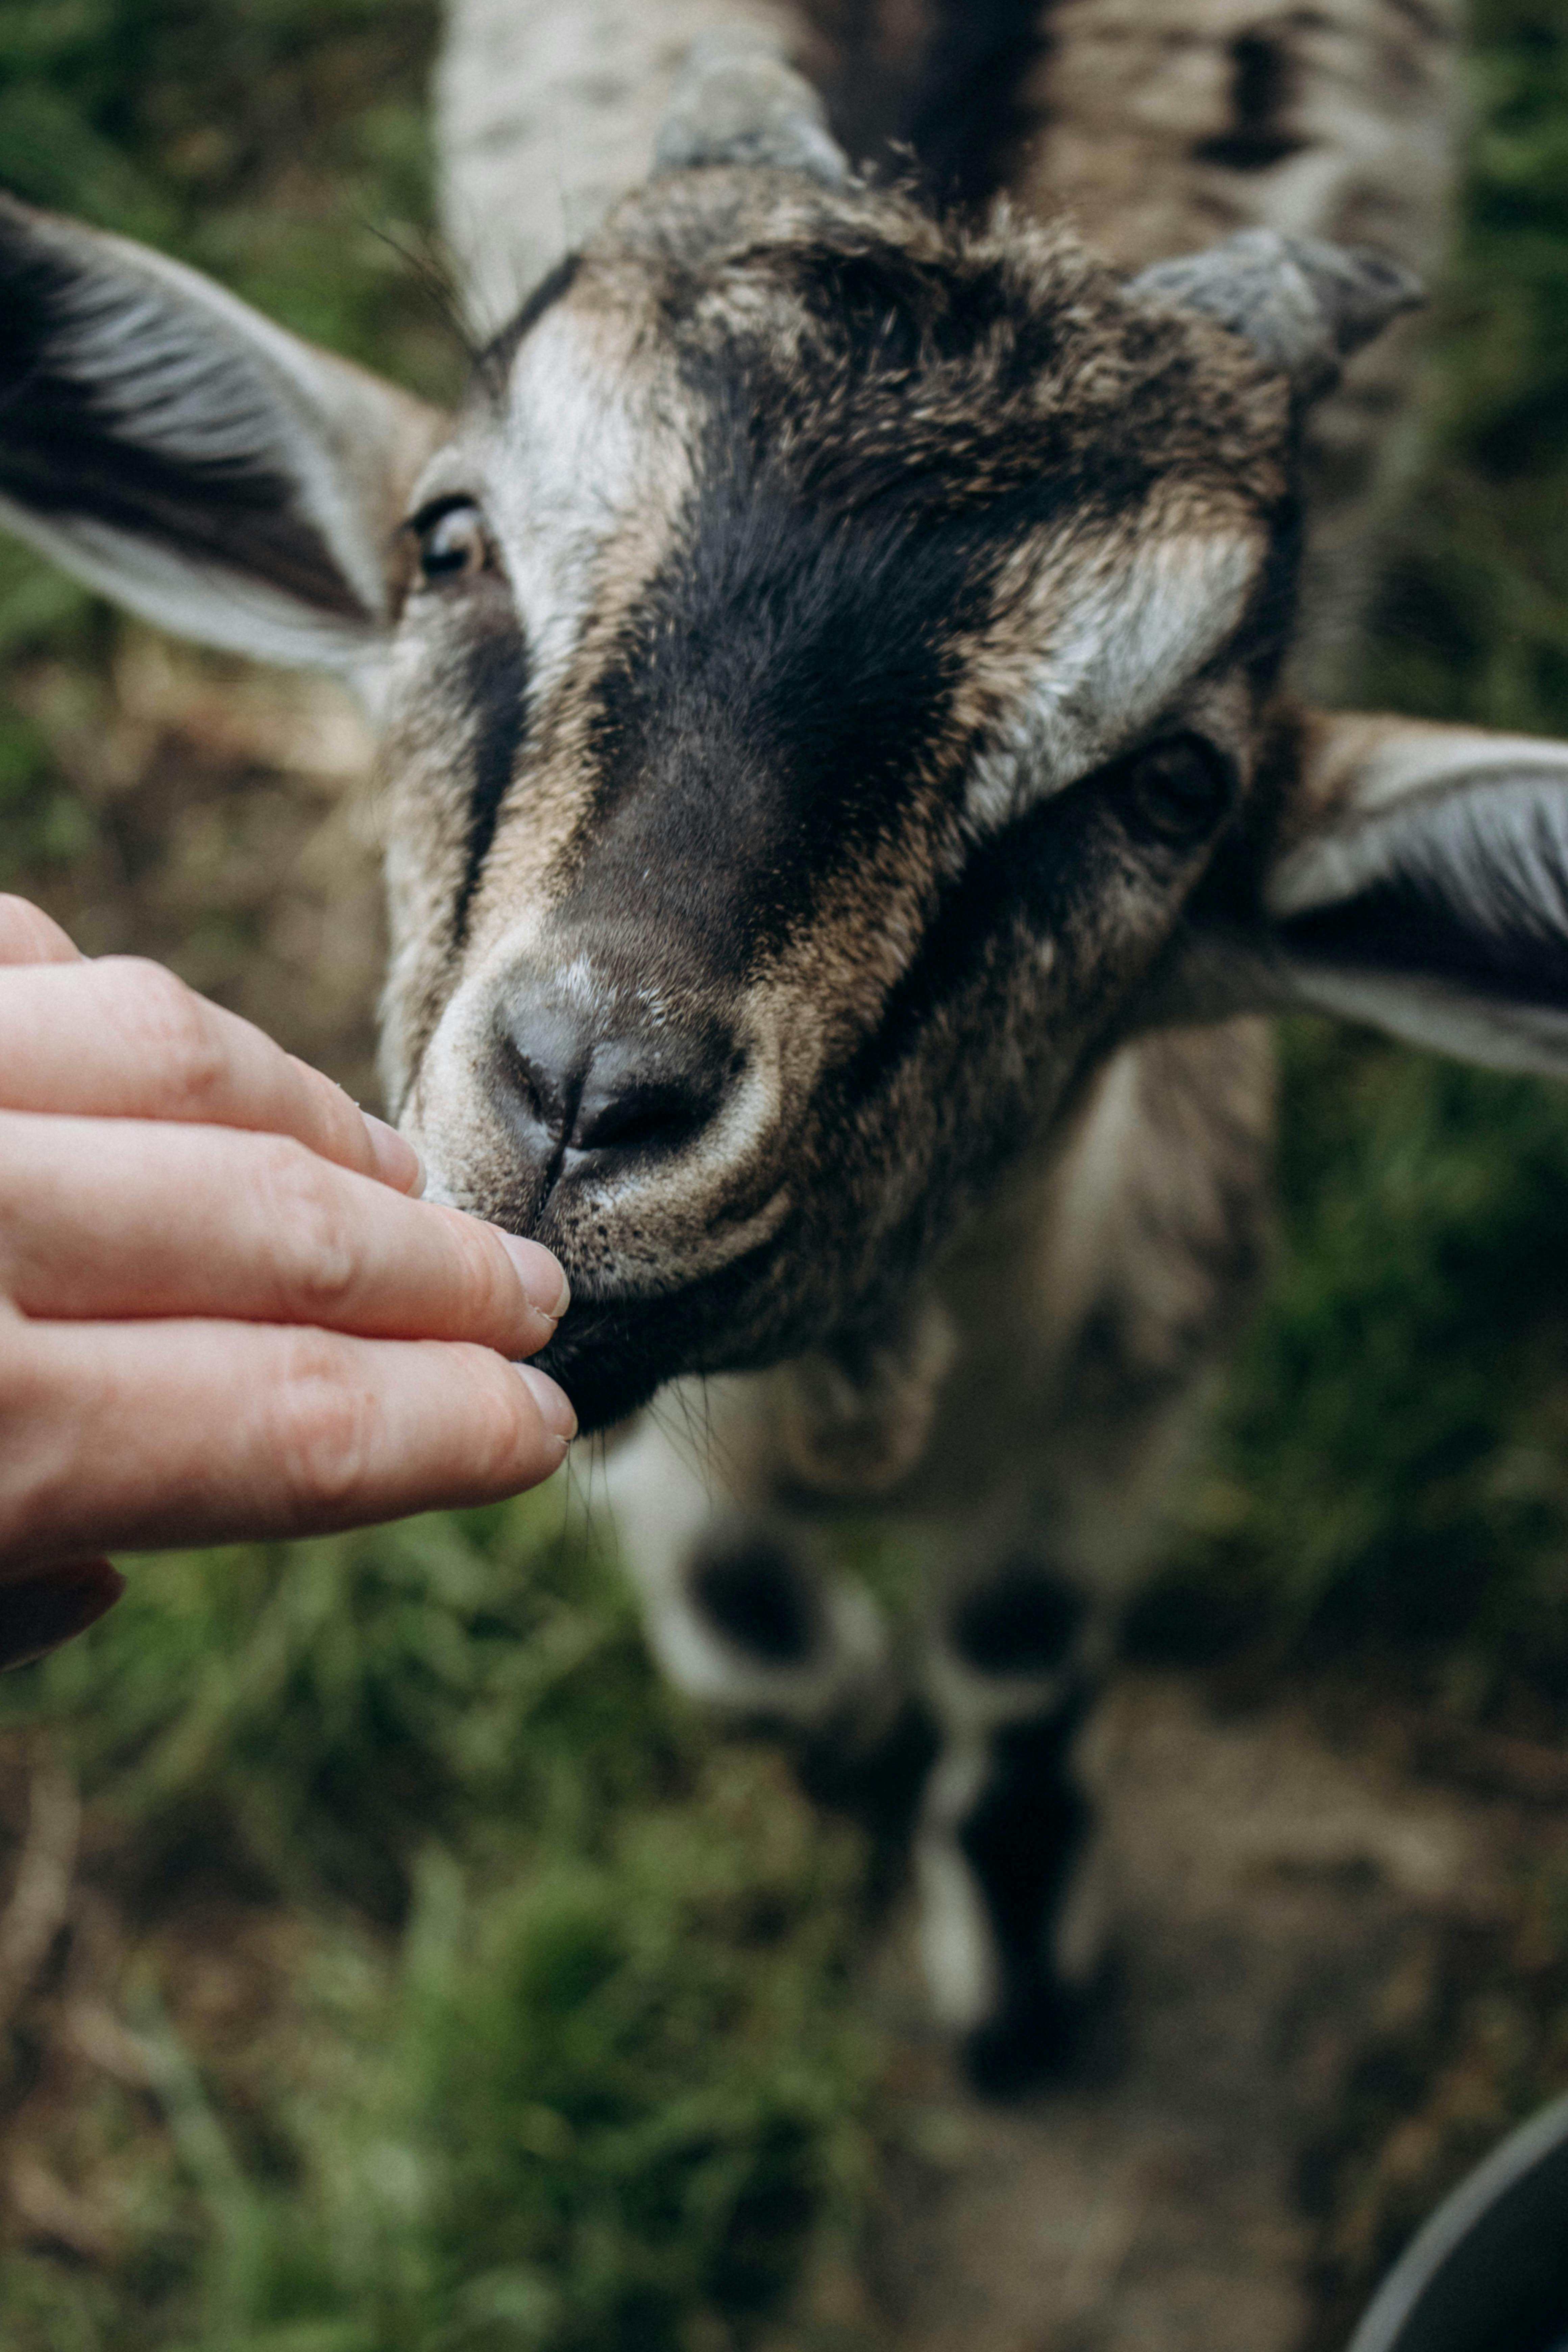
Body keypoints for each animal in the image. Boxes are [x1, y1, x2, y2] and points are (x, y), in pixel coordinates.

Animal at [4, 0, 1567, 2092]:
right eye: (448, 540)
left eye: (1171, 784)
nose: (589, 1086)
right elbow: (749, 1630)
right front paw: (844, 1739)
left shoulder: (1136, 1374)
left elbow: (1017, 1653)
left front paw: (1015, 1976)